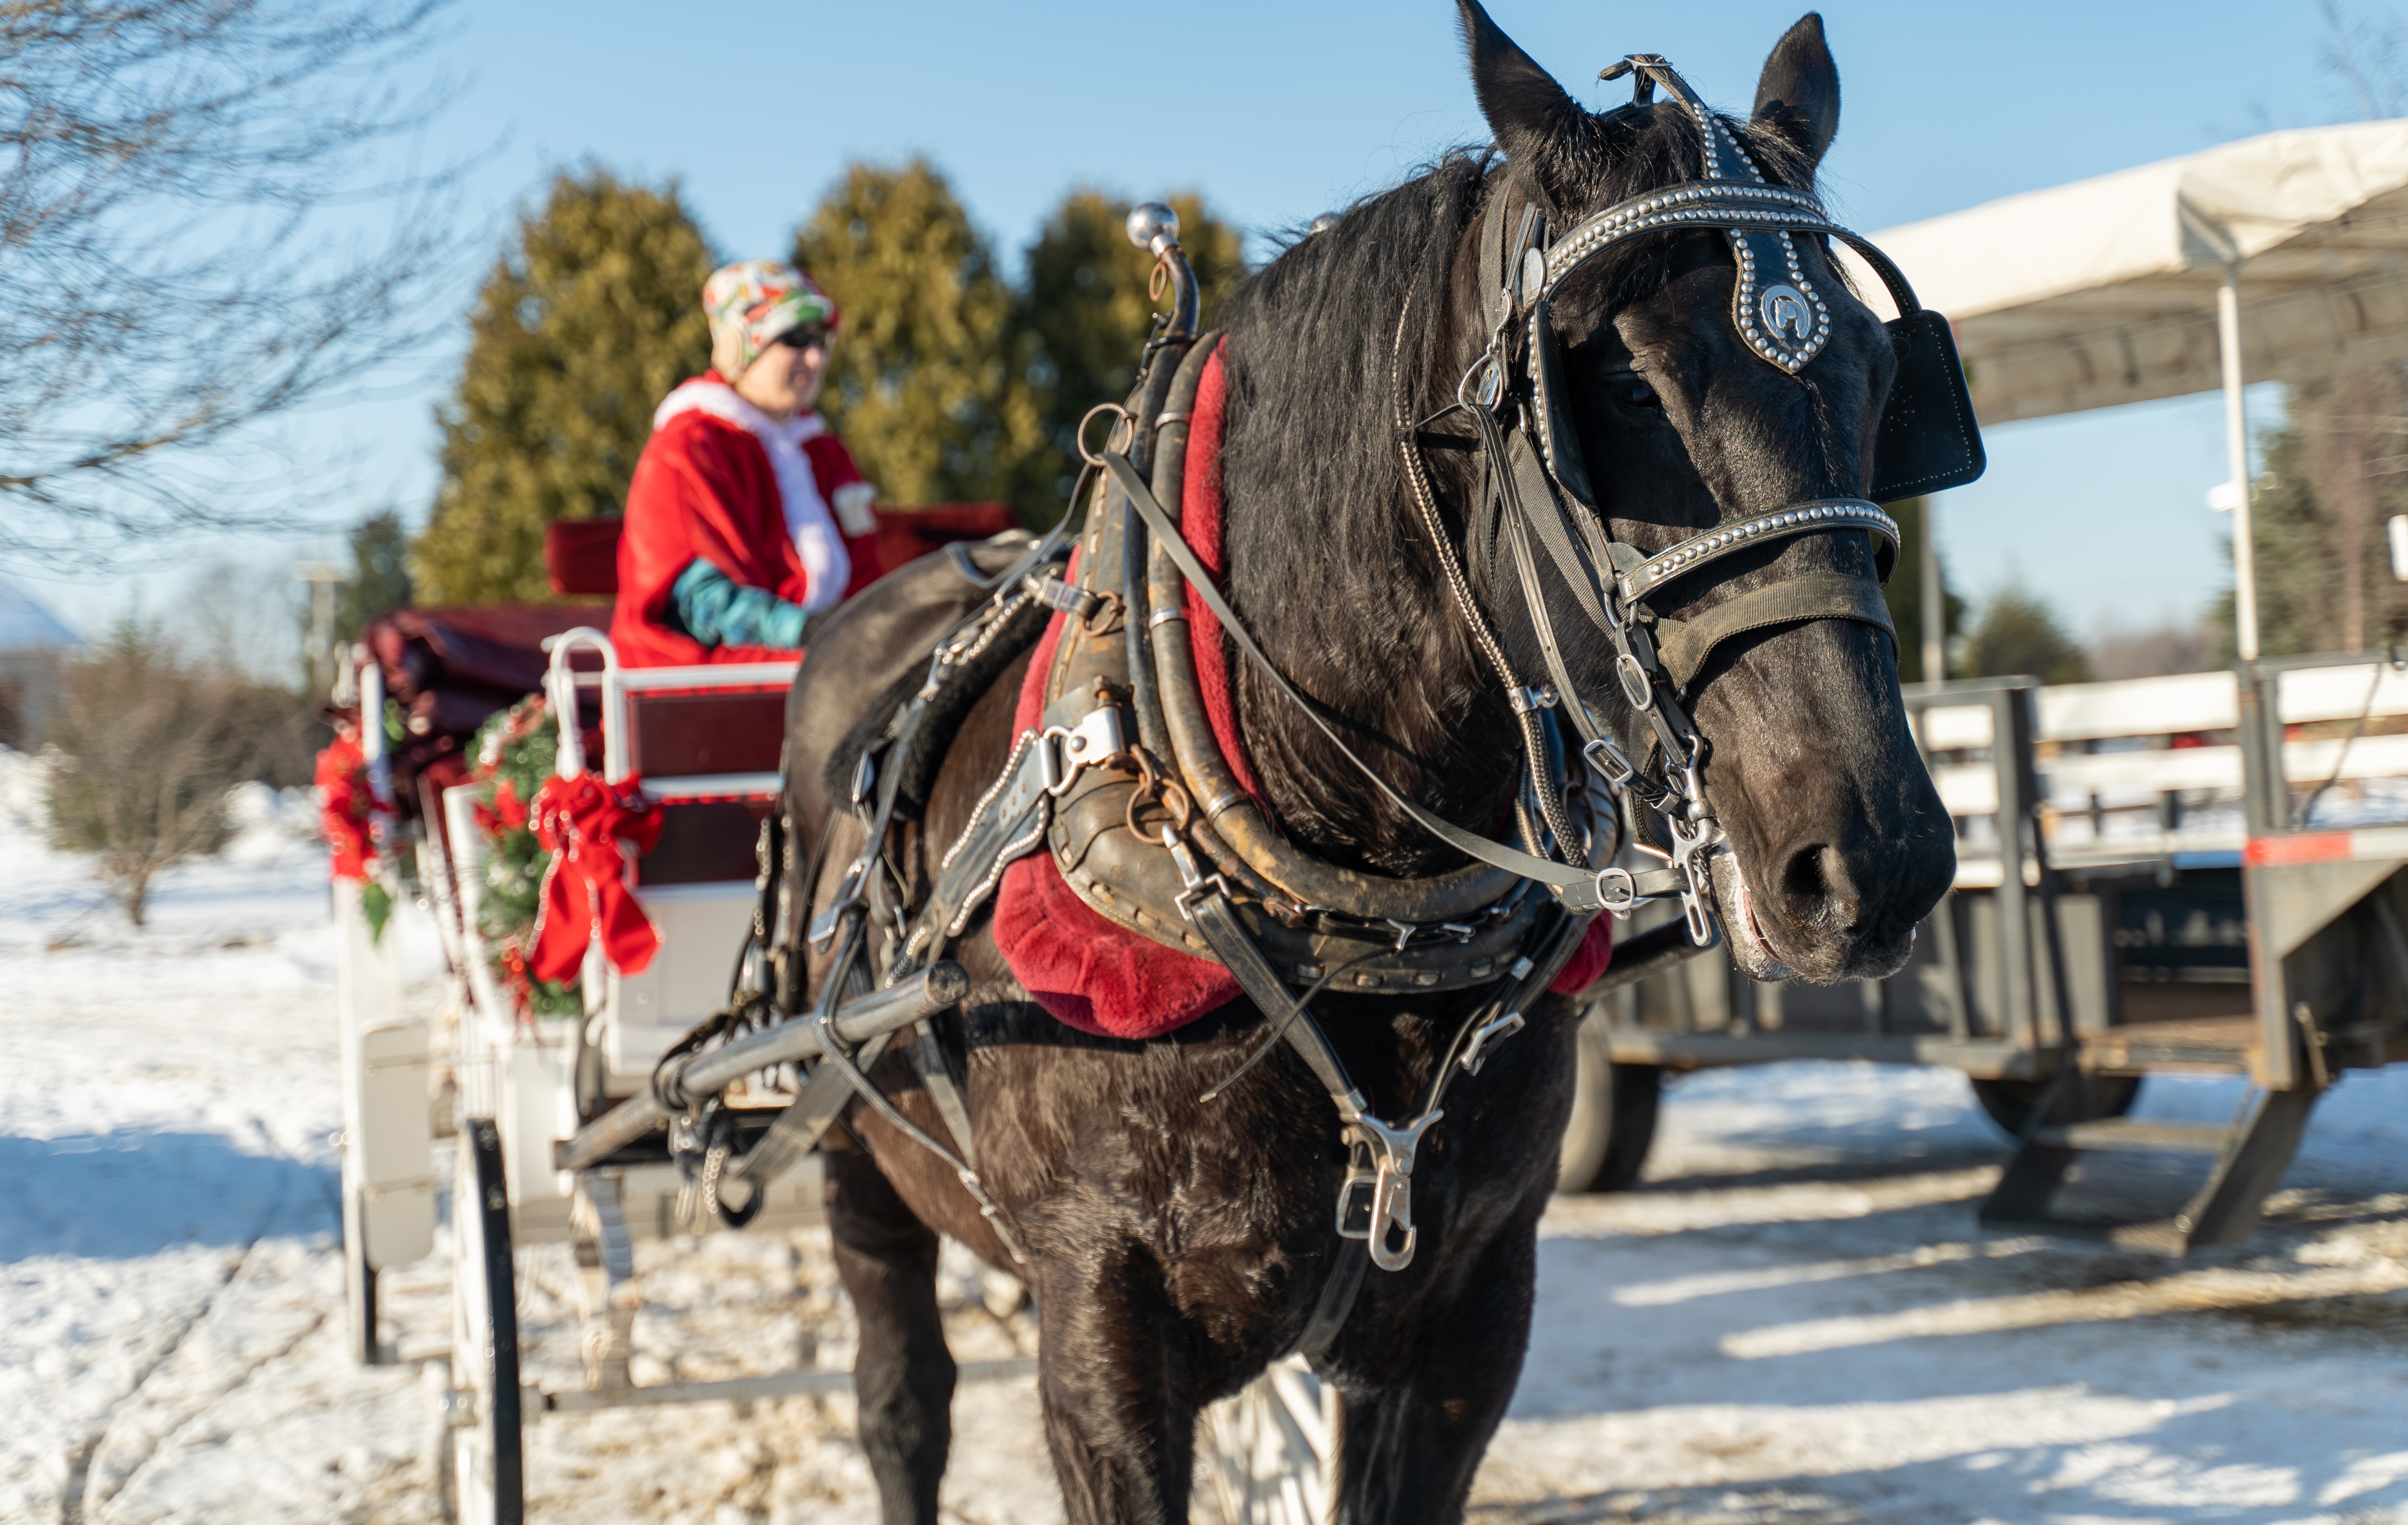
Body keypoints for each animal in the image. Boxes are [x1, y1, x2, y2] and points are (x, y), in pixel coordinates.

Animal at [779, 6, 1955, 1521]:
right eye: (1618, 379)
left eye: (1882, 376)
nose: (1875, 855)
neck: (1342, 901)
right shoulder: (1098, 1328)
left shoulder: (1469, 1321)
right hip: (851, 1169)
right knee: (902, 1402)